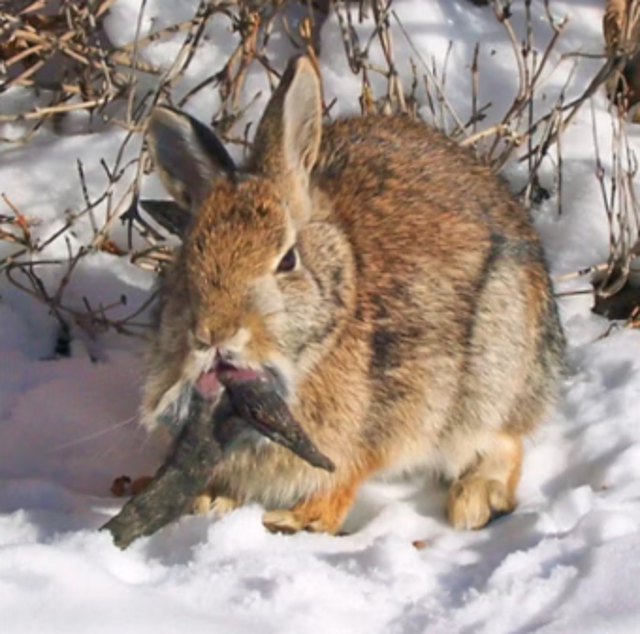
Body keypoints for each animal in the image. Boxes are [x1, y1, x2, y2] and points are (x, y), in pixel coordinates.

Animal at [139, 55, 565, 535]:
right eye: (187, 259)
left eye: (287, 261)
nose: (214, 334)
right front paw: (211, 500)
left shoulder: (378, 426)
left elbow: (344, 477)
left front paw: (297, 520)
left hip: (493, 368)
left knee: (503, 441)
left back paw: (476, 501)